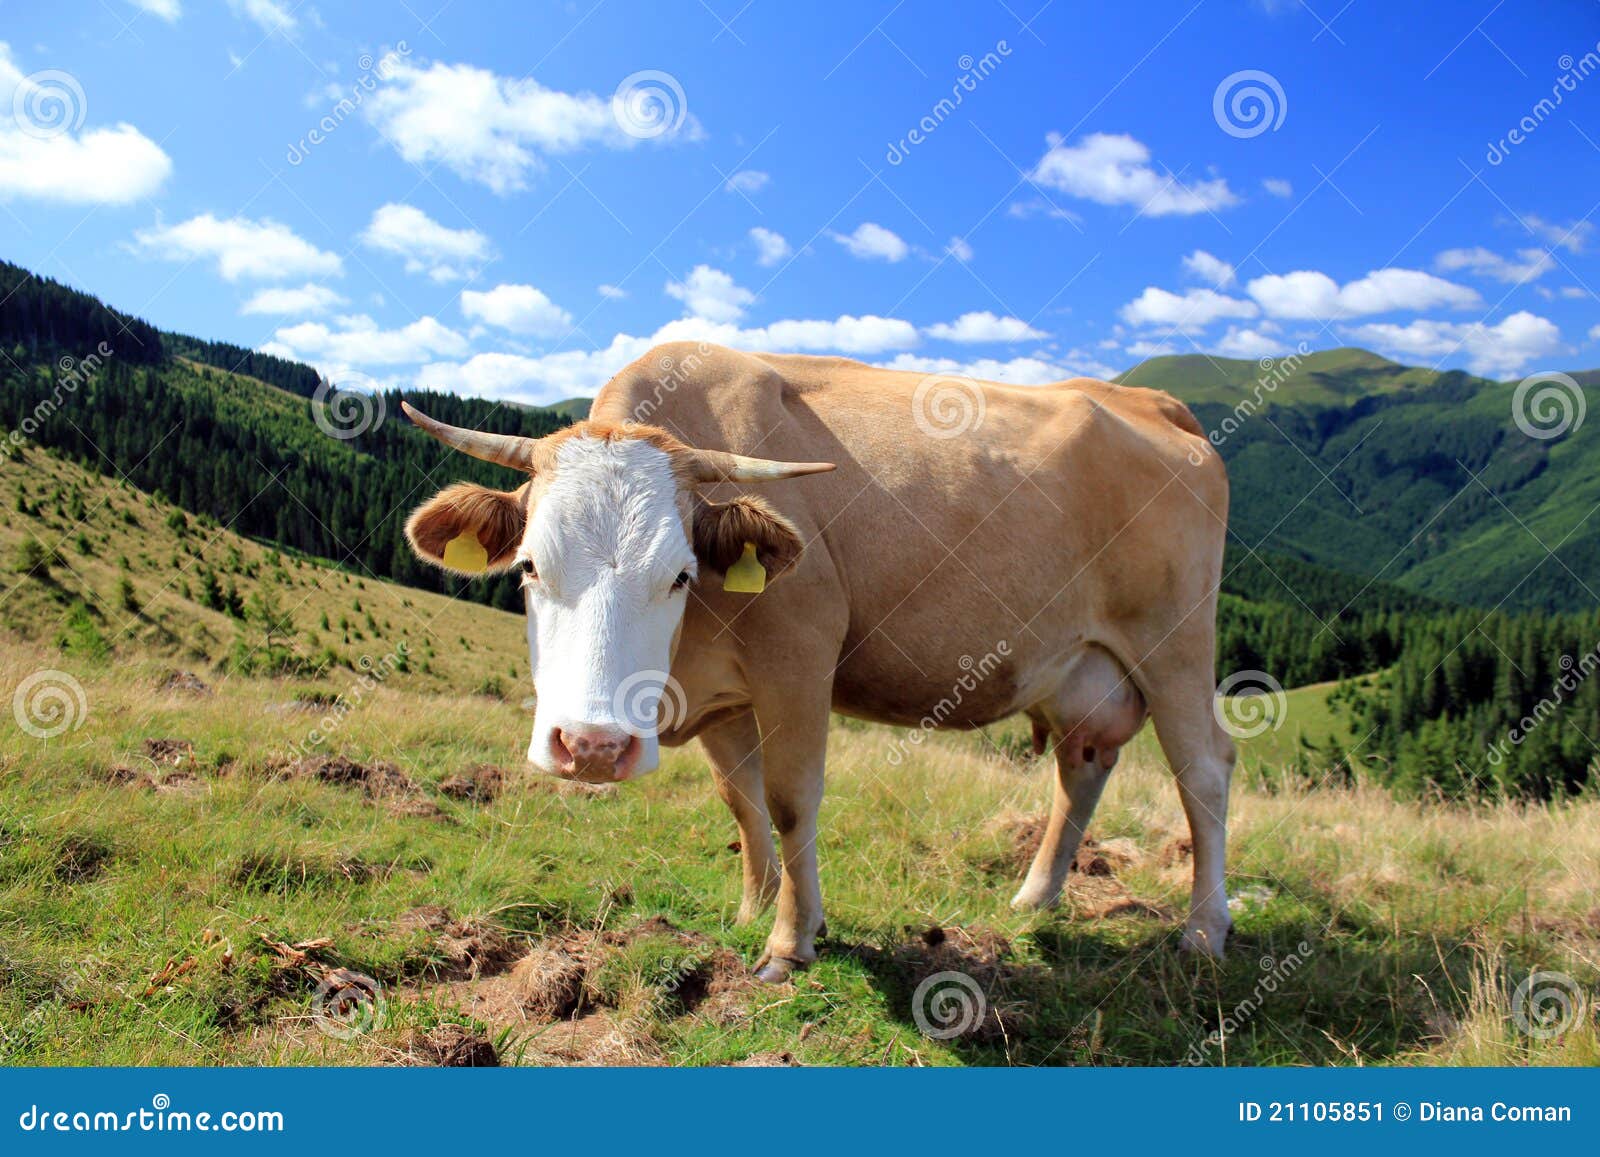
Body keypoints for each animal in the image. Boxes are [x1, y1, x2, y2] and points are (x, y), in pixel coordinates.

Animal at [401, 341, 1235, 982]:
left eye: (679, 575)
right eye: (530, 566)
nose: (594, 746)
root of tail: (1151, 402)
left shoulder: (800, 657)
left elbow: (789, 799)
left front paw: (788, 942)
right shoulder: (719, 695)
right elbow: (741, 800)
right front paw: (755, 906)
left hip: (1176, 644)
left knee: (1205, 769)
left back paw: (1204, 930)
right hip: (1080, 668)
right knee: (1082, 766)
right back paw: (1036, 896)